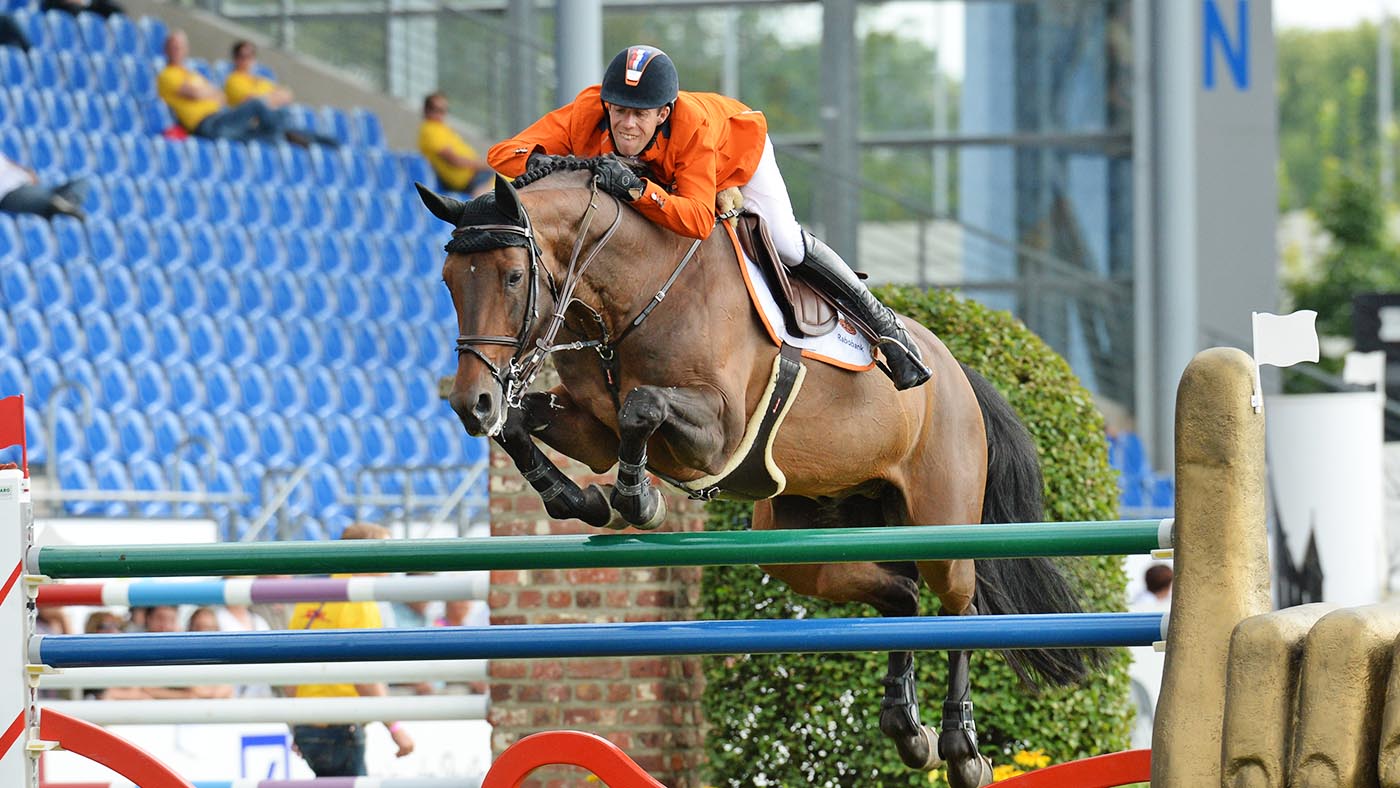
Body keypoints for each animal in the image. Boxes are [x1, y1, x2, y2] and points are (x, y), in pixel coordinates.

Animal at [417, 162, 1097, 788]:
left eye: (512, 275)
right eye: (447, 281)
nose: (471, 403)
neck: (634, 292)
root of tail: (957, 371)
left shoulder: (714, 433)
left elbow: (642, 408)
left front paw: (636, 500)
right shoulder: (594, 430)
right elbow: (524, 425)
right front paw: (573, 497)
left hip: (941, 525)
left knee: (959, 606)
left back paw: (960, 749)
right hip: (808, 545)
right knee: (901, 594)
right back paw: (907, 730)